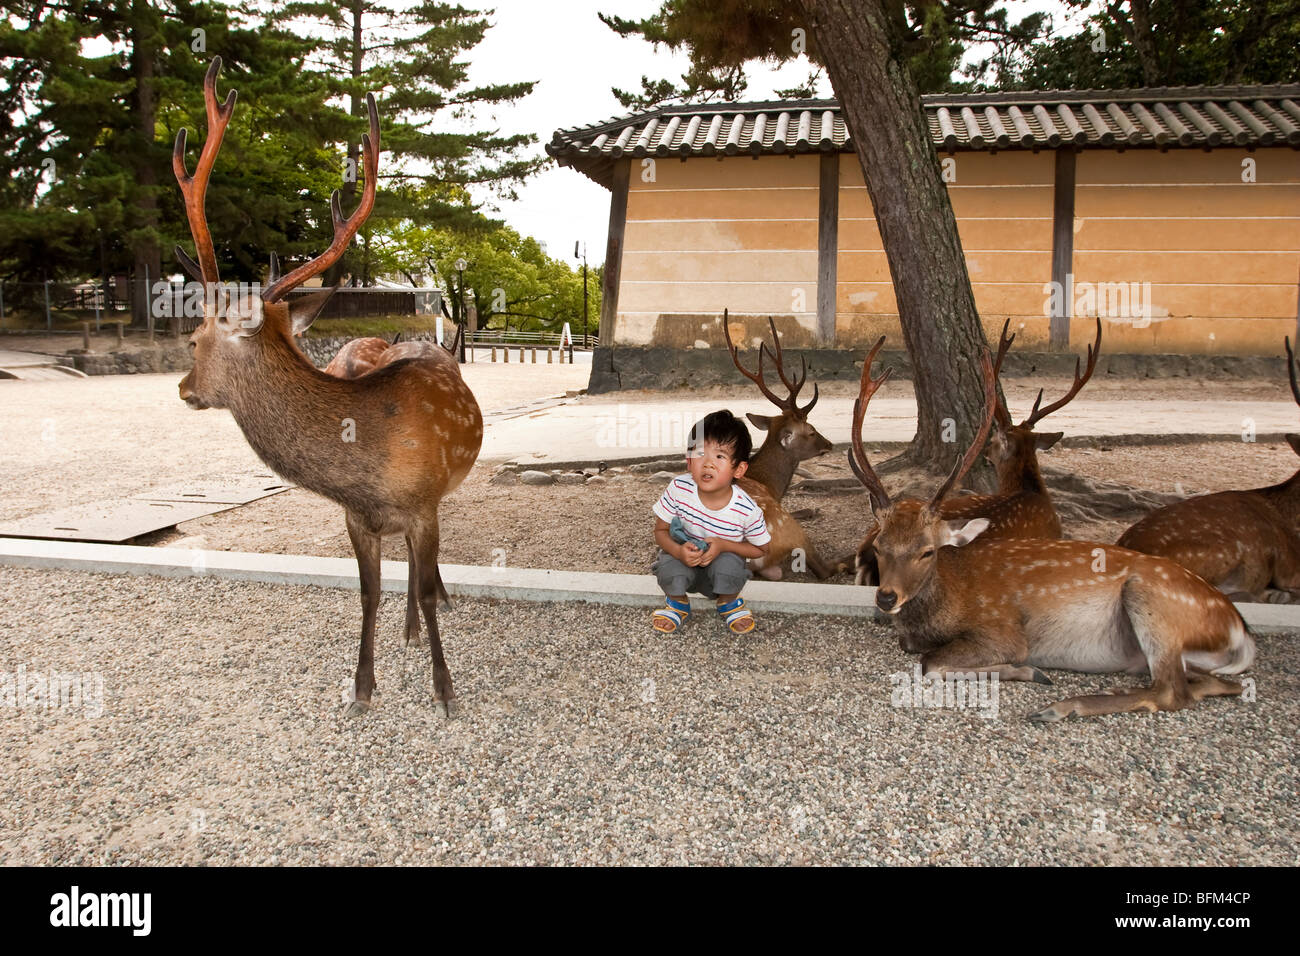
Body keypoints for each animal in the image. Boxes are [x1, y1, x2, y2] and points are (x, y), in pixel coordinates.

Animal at [173, 57, 482, 718]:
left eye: (193, 338)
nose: (184, 388)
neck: (365, 469)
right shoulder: (354, 518)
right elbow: (368, 595)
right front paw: (362, 687)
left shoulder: (422, 504)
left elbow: (420, 587)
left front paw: (444, 690)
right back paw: (409, 631)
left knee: (425, 574)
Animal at [720, 310, 836, 580]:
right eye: (811, 430)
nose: (830, 444)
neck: (769, 483)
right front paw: (813, 510)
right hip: (792, 530)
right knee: (826, 569)